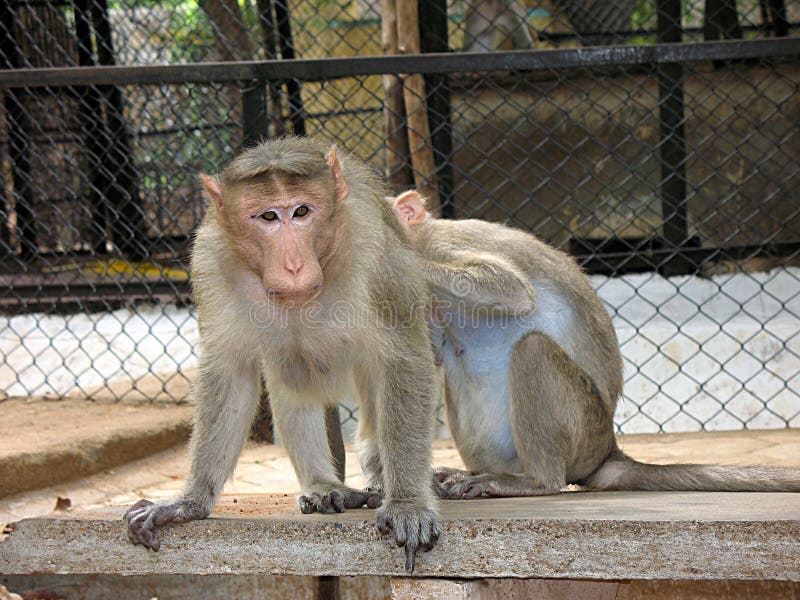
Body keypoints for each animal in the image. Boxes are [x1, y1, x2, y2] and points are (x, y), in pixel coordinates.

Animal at [125, 139, 441, 573]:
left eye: (302, 212)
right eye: (269, 217)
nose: (293, 265)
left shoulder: (377, 257)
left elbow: (403, 362)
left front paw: (408, 504)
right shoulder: (211, 261)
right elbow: (230, 372)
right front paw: (189, 502)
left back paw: (378, 480)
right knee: (290, 372)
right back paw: (324, 485)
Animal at [390, 190, 800, 498]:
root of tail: (606, 450)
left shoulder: (446, 245)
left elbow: (513, 291)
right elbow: (426, 359)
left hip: (584, 430)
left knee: (534, 349)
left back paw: (534, 482)